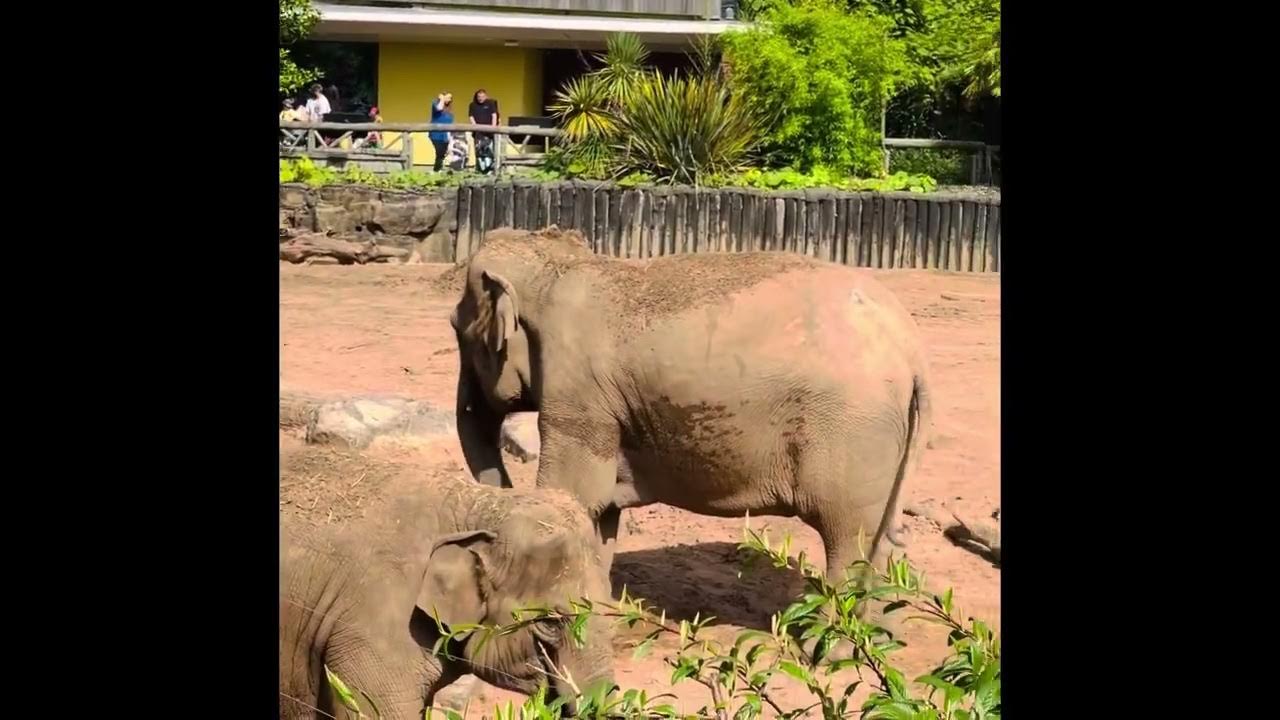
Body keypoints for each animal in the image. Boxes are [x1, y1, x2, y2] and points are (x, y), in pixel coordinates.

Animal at [450, 227, 932, 582]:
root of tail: (911, 350)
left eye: (457, 328)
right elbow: (600, 510)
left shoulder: (577, 391)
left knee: (847, 537)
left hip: (853, 431)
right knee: (883, 540)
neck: (562, 268)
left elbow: (574, 495)